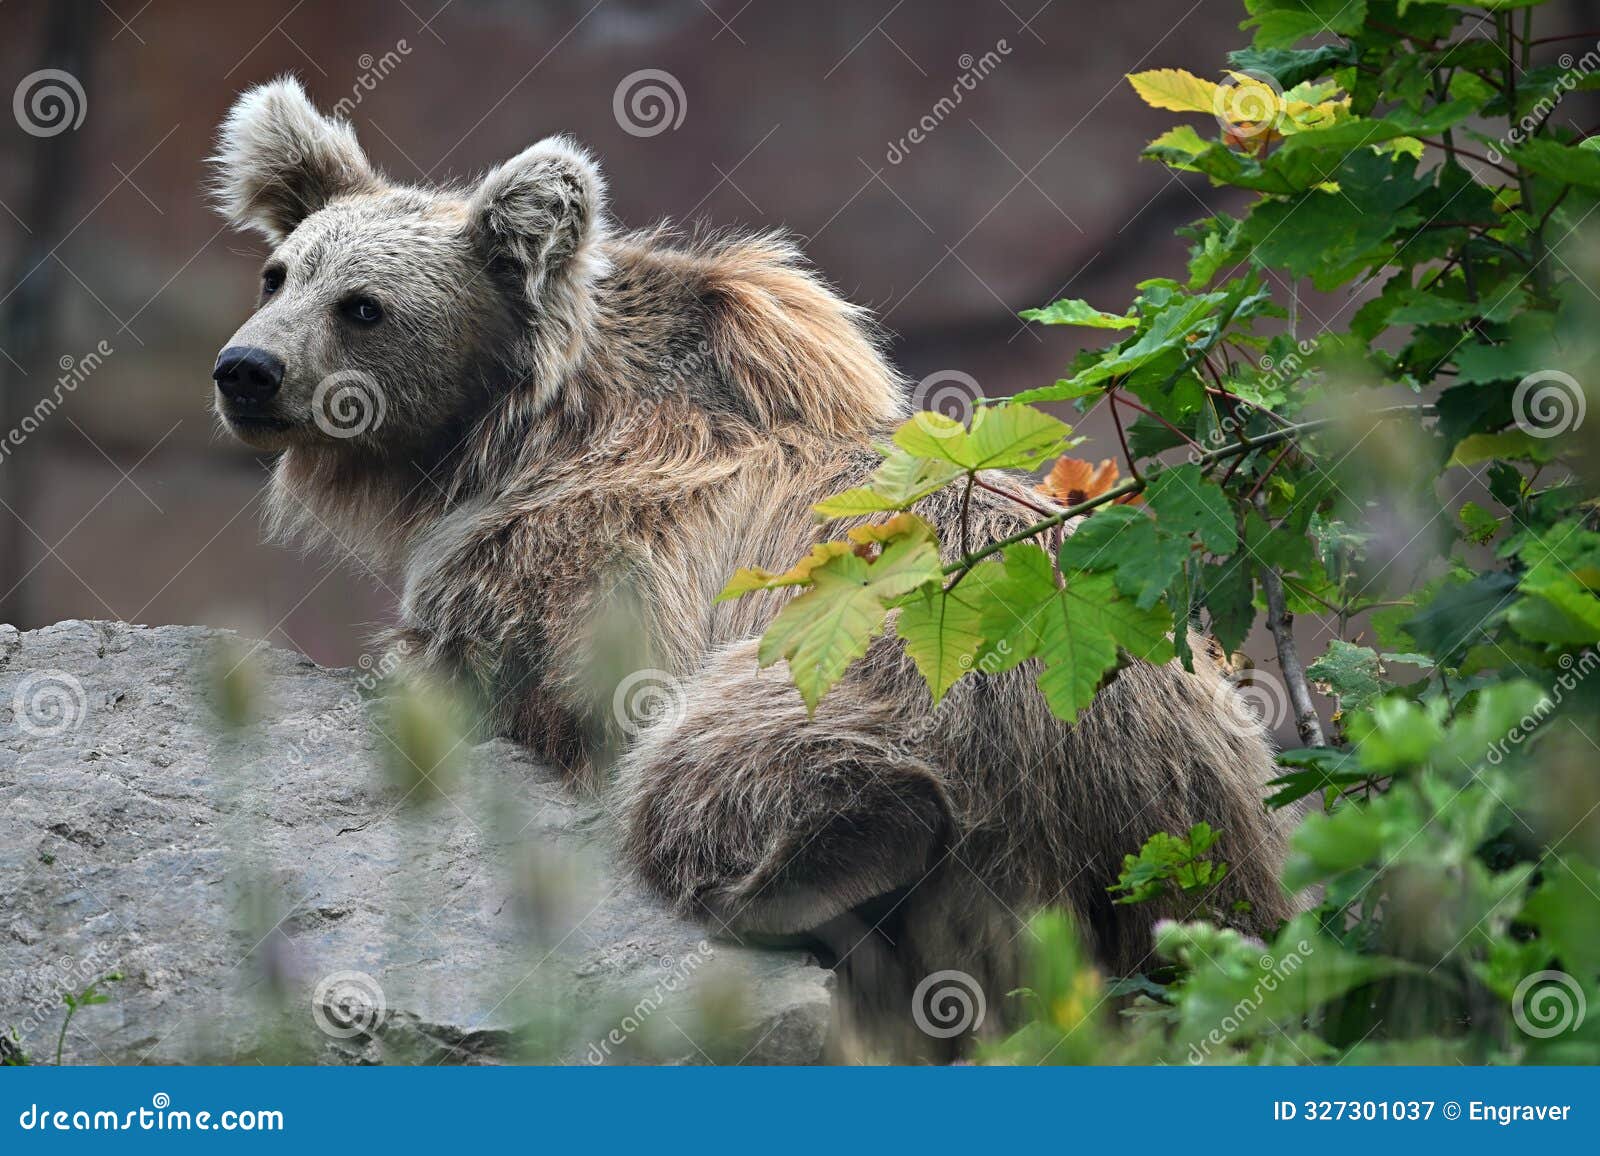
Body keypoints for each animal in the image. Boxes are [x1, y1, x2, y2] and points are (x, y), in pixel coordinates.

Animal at [208, 77, 1300, 1058]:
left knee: (708, 773)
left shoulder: (590, 554)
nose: (246, 371)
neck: (508, 437)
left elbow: (495, 667)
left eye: (363, 306)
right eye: (278, 273)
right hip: (1193, 807)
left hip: (879, 661)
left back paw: (835, 847)